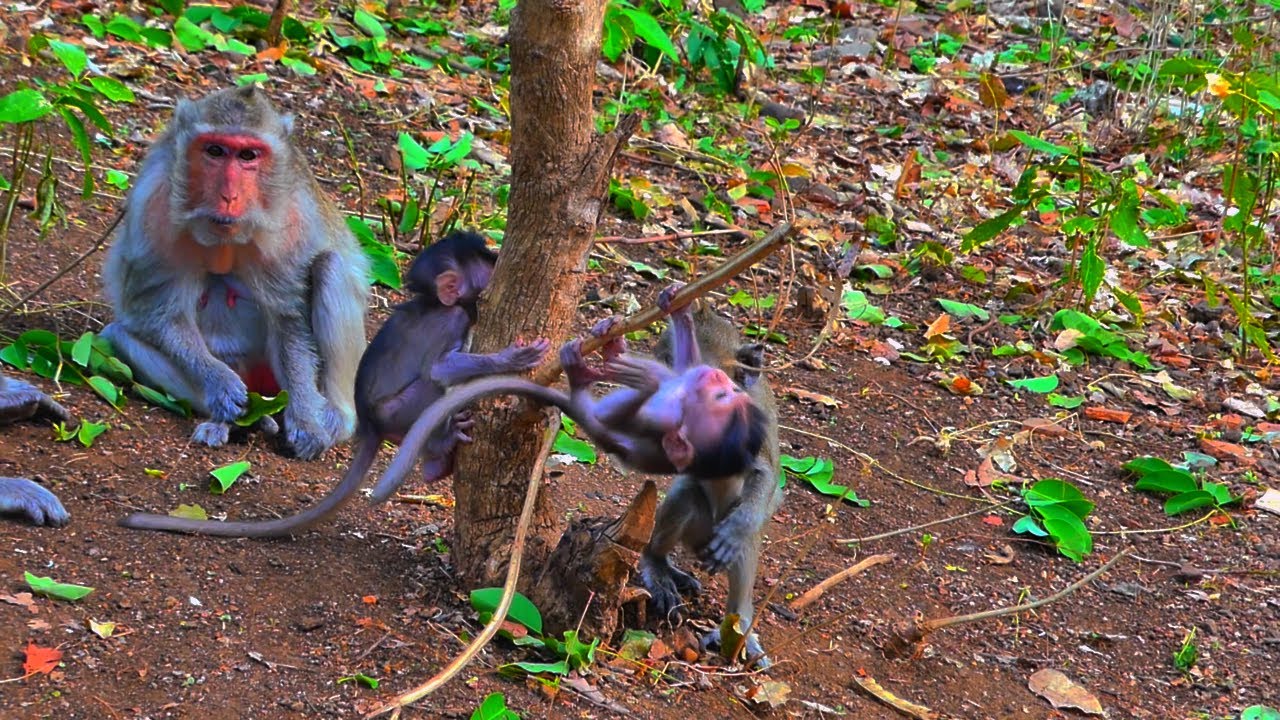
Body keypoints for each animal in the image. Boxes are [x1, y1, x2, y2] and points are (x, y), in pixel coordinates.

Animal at [100, 85, 369, 461]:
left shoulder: (294, 220)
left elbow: (288, 318)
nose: (228, 195)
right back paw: (236, 420)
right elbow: (158, 309)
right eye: (215, 150)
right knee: (116, 335)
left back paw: (333, 418)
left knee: (331, 266)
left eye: (248, 156)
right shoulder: (152, 206)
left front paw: (305, 420)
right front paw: (219, 384)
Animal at [119, 230, 550, 536]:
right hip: (395, 411)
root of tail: (370, 426)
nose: (497, 261)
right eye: (486, 269)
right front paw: (511, 359)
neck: (434, 303)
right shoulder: (453, 320)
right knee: (431, 388)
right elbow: (441, 369)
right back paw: (437, 453)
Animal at [367, 284, 769, 504]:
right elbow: (684, 366)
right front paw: (680, 306)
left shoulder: (671, 422)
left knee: (607, 409)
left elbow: (637, 418)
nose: (719, 378)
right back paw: (611, 343)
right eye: (727, 391)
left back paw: (586, 373)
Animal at [639, 296, 781, 668]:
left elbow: (764, 473)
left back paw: (738, 623)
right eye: (667, 362)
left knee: (744, 542)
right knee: (687, 494)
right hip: (696, 529)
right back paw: (656, 562)